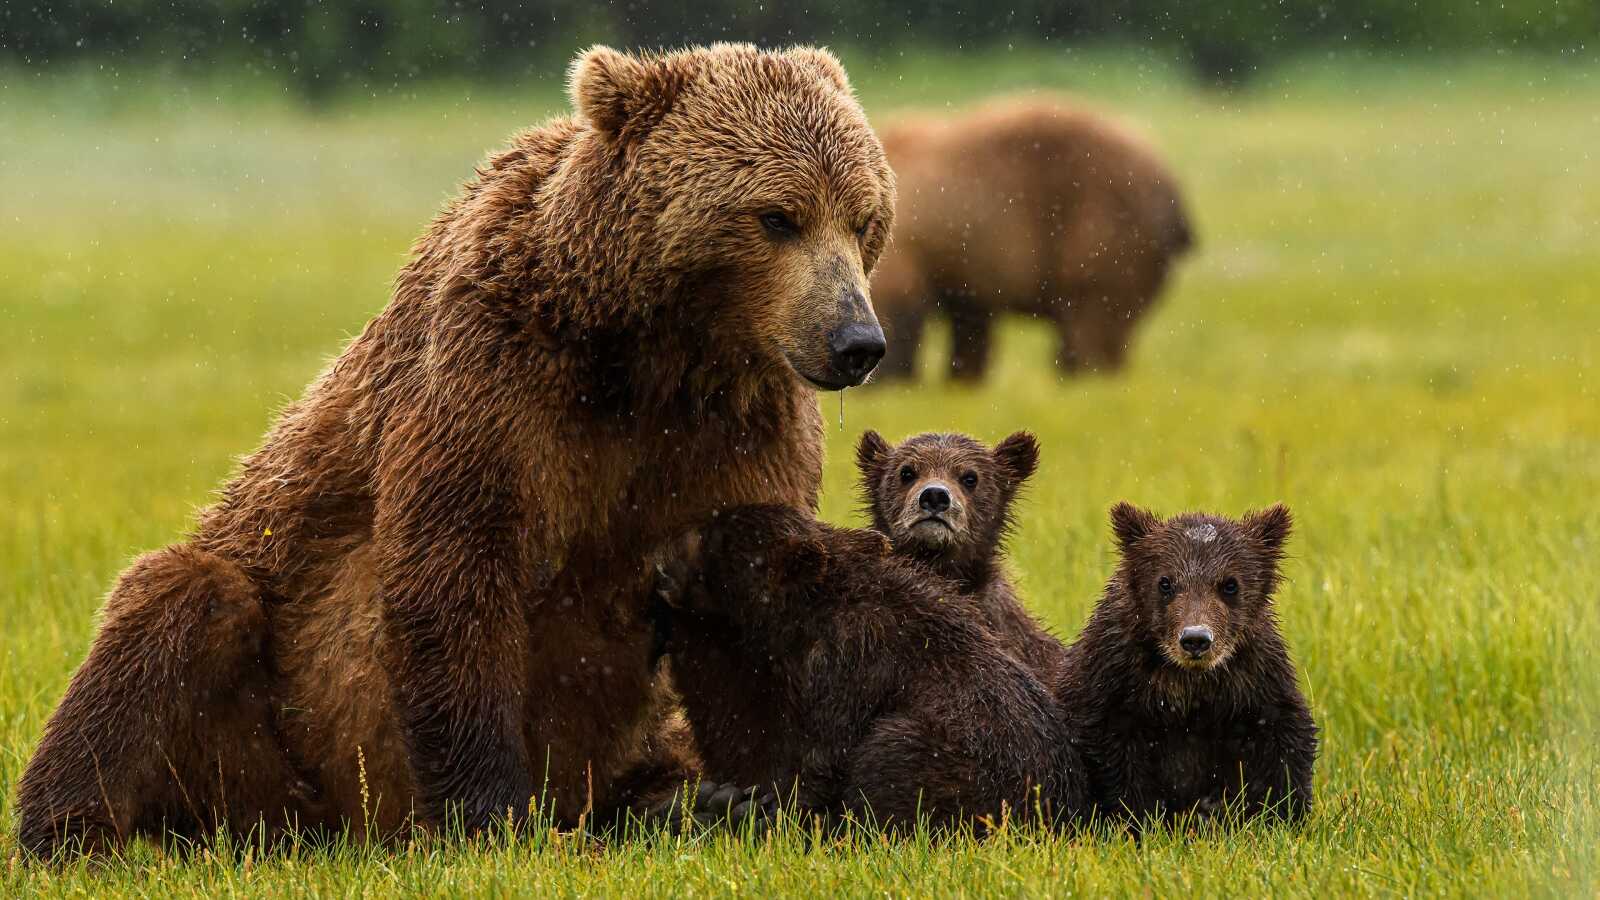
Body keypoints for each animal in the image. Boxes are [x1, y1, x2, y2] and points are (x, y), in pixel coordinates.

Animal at [16, 43, 896, 857]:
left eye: (862, 217)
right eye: (777, 215)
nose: (856, 341)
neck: (651, 353)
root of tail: (336, 827)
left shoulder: (740, 428)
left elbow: (737, 591)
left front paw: (752, 793)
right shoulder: (495, 379)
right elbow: (457, 564)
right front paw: (492, 813)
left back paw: (680, 802)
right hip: (270, 722)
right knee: (177, 605)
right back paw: (78, 831)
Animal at [1055, 503, 1318, 824]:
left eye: (1230, 584)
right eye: (1165, 582)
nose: (1195, 639)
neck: (1189, 682)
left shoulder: (1255, 678)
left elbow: (1283, 739)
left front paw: (1280, 815)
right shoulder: (1112, 680)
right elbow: (1114, 755)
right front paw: (1139, 819)